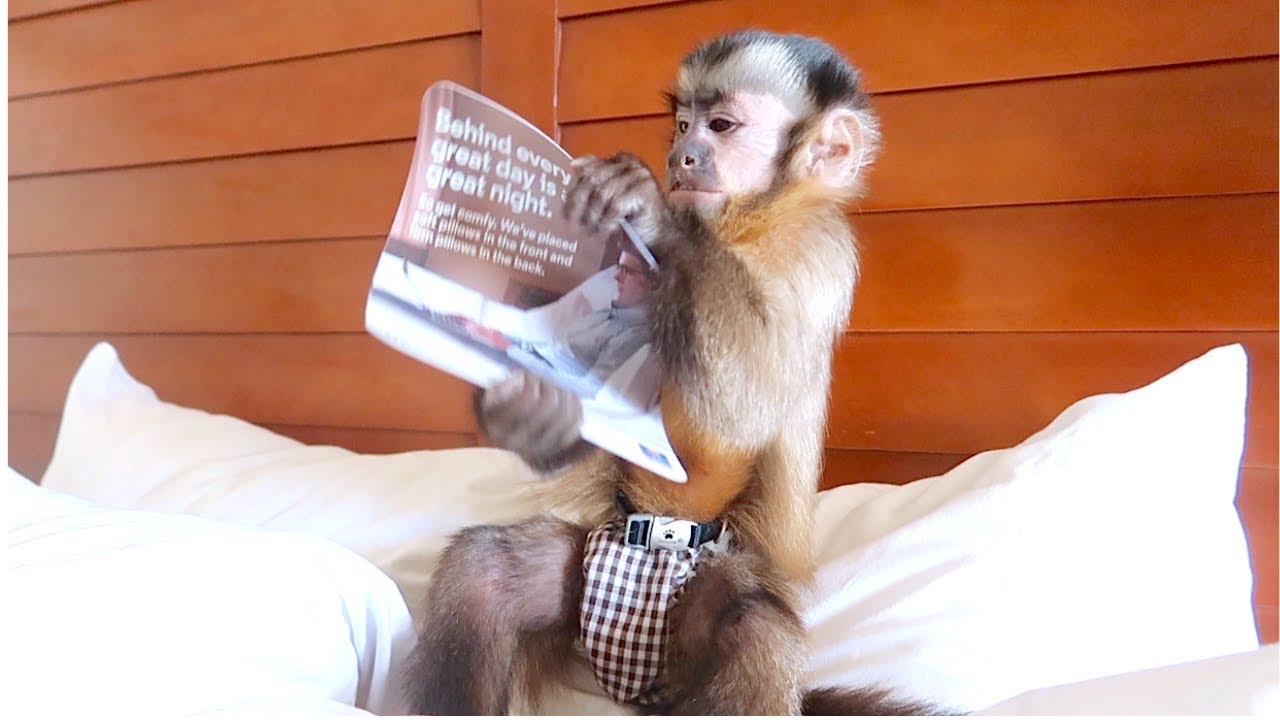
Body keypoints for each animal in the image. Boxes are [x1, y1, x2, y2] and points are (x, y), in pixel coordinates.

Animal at [404, 30, 940, 715]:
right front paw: (533, 409)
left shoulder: (824, 249)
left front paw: (654, 215)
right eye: (683, 124)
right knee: (485, 573)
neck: (742, 226)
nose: (680, 157)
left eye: (721, 126)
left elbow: (750, 404)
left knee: (748, 625)